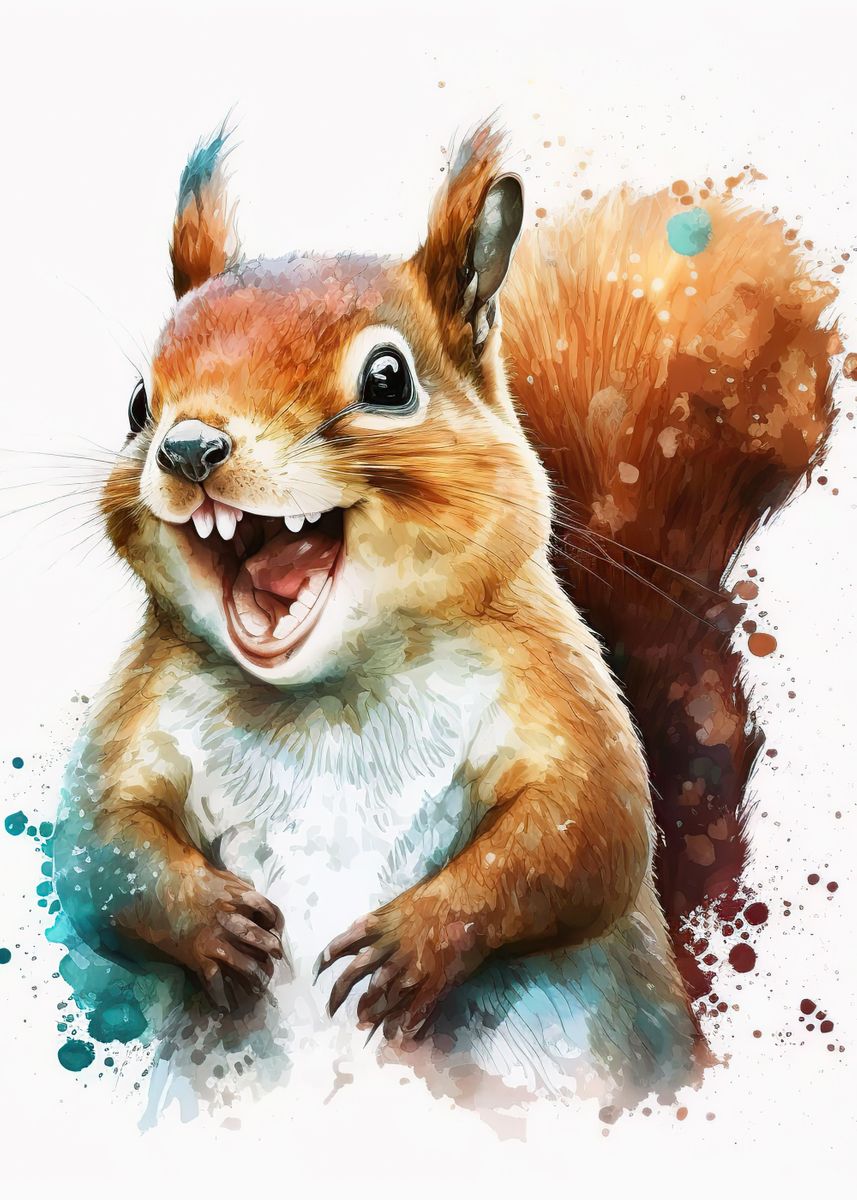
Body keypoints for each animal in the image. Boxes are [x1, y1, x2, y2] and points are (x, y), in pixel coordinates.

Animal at [53, 122, 836, 1112]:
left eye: (388, 379)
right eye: (136, 405)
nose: (189, 448)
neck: (329, 693)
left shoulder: (558, 692)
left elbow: (586, 834)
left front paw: (415, 943)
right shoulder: (138, 709)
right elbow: (95, 854)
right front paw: (211, 924)